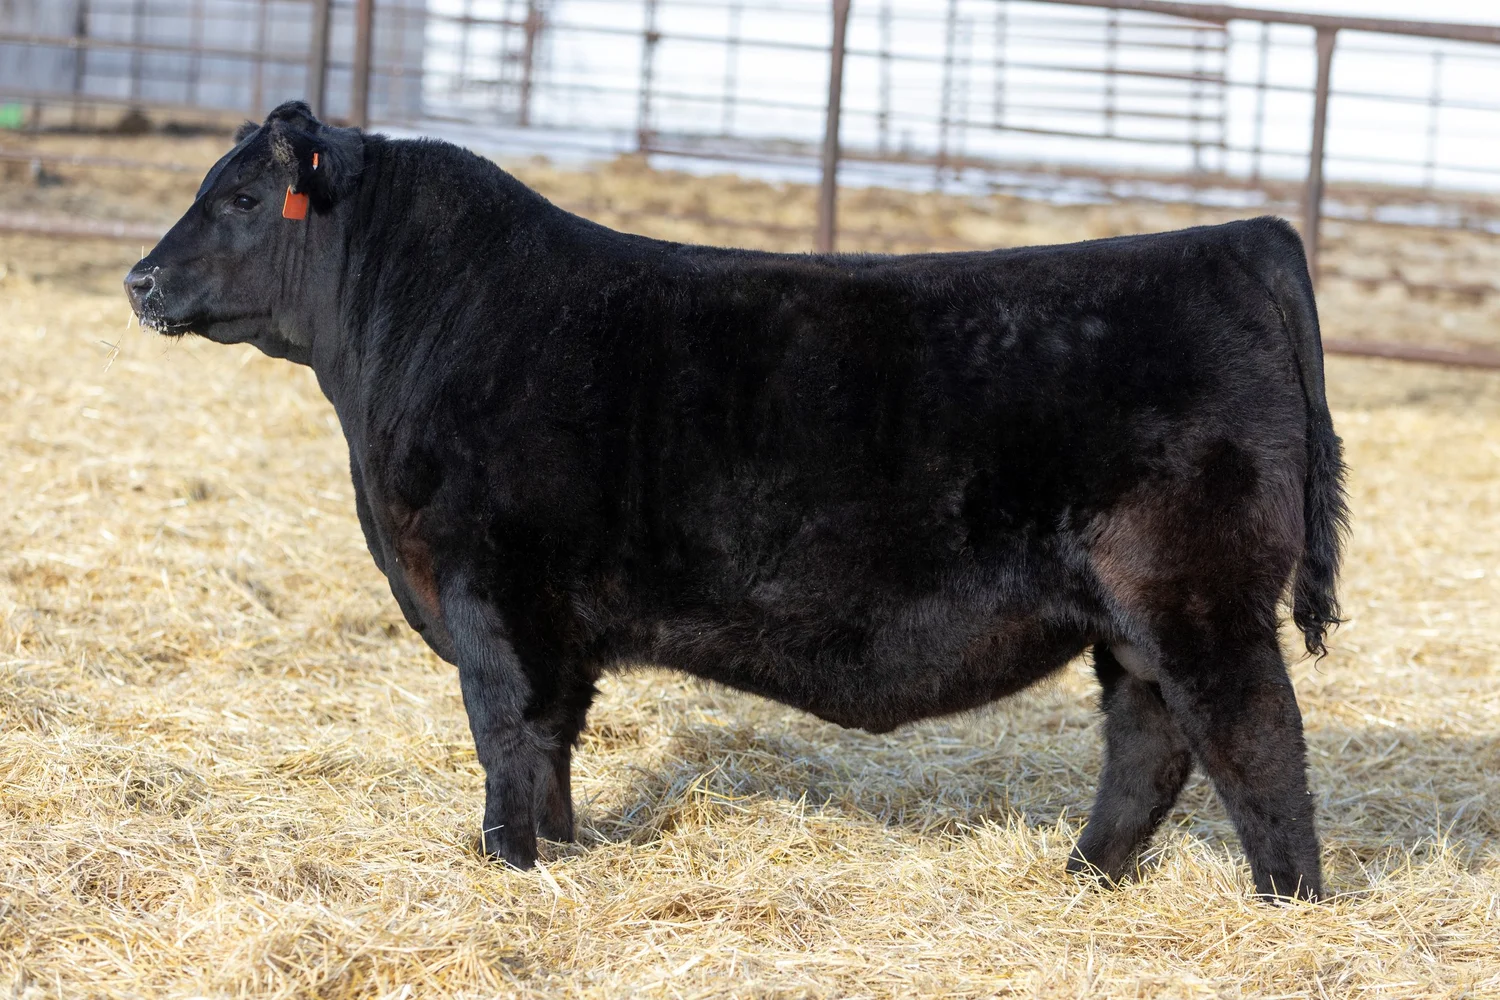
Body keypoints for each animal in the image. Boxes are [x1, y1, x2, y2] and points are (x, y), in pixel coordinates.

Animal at [125, 101, 1347, 901]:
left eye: (241, 198)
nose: (138, 279)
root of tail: (1239, 239)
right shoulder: (550, 620)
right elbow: (555, 737)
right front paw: (562, 851)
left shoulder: (491, 588)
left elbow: (506, 728)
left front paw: (506, 862)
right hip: (1132, 617)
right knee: (1150, 738)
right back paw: (1084, 875)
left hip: (1196, 591)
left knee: (1252, 731)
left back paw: (1286, 897)